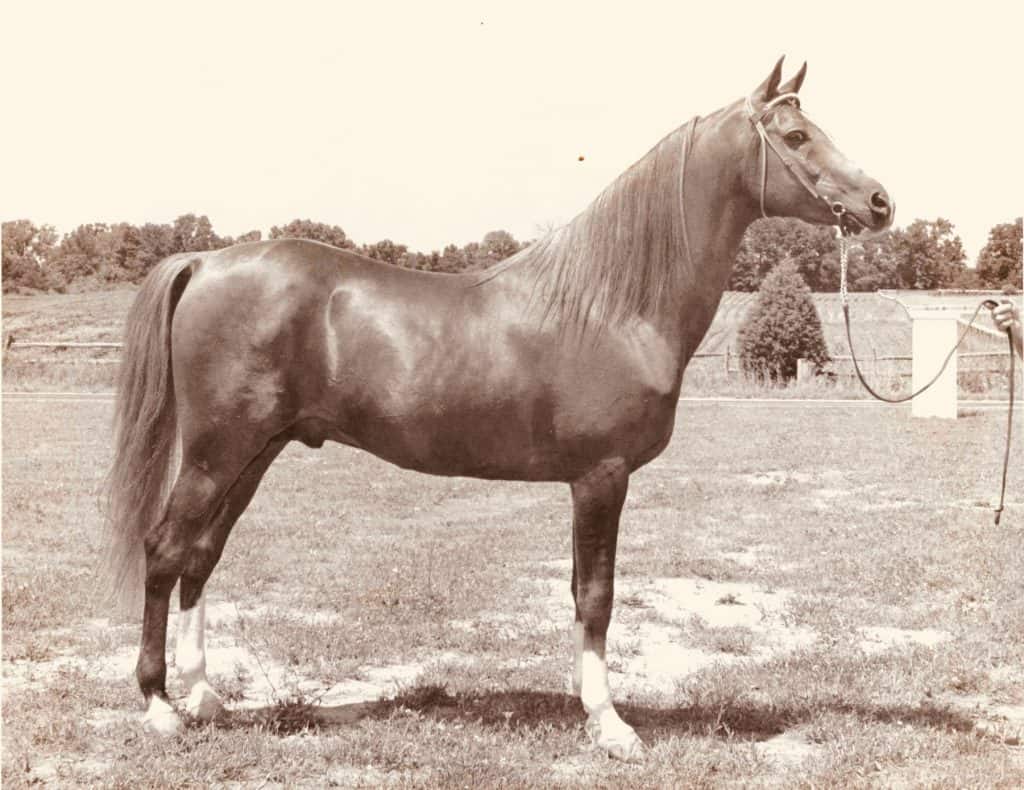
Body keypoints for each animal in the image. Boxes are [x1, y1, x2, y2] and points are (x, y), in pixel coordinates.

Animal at [104, 57, 892, 760]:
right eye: (796, 136)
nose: (881, 202)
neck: (613, 305)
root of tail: (206, 261)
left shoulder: (589, 481)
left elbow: (581, 593)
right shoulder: (601, 477)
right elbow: (596, 597)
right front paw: (610, 726)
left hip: (254, 454)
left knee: (203, 555)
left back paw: (205, 697)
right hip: (218, 453)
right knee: (165, 549)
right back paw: (159, 706)